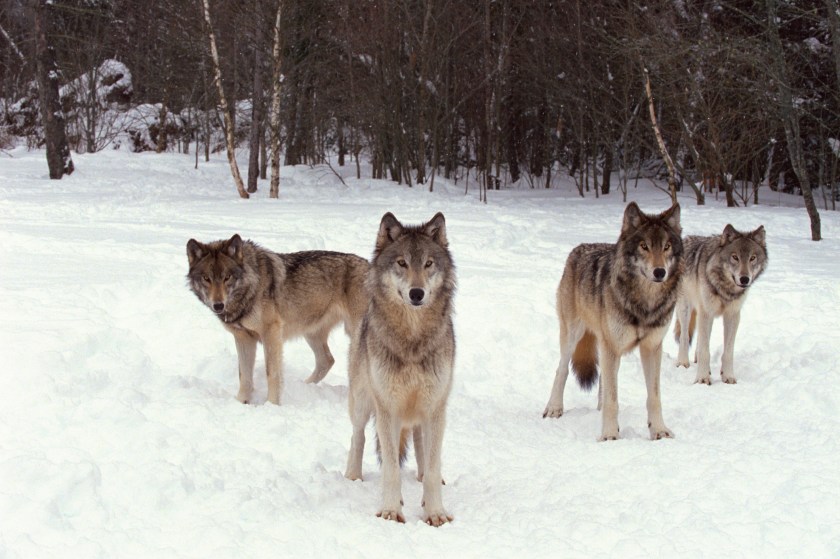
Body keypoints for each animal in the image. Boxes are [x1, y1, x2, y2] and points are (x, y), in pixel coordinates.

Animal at [186, 234, 368, 405]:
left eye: (227, 277)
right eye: (206, 278)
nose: (218, 305)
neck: (251, 287)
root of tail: (369, 264)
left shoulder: (271, 333)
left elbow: (272, 373)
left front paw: (272, 404)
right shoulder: (243, 338)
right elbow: (244, 376)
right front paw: (241, 402)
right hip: (311, 333)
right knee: (327, 360)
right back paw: (303, 386)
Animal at [344, 212, 456, 527]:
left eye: (428, 263)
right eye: (402, 263)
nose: (416, 293)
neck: (412, 339)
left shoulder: (435, 407)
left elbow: (432, 465)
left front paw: (435, 512)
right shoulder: (387, 409)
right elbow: (391, 469)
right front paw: (391, 510)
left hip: (420, 414)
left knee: (420, 446)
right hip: (363, 402)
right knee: (358, 435)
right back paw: (352, 476)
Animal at [543, 202, 683, 441]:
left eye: (666, 247)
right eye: (644, 246)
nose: (659, 272)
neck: (645, 303)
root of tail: (579, 248)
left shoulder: (651, 347)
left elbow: (654, 397)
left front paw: (659, 430)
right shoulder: (612, 347)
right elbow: (612, 399)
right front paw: (609, 435)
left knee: (603, 380)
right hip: (574, 336)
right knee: (562, 370)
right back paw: (554, 408)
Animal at [674, 224, 767, 385]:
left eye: (752, 258)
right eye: (735, 257)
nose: (744, 279)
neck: (725, 288)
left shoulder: (732, 315)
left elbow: (728, 352)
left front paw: (728, 376)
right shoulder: (706, 312)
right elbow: (705, 351)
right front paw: (702, 378)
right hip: (685, 308)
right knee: (685, 336)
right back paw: (683, 363)